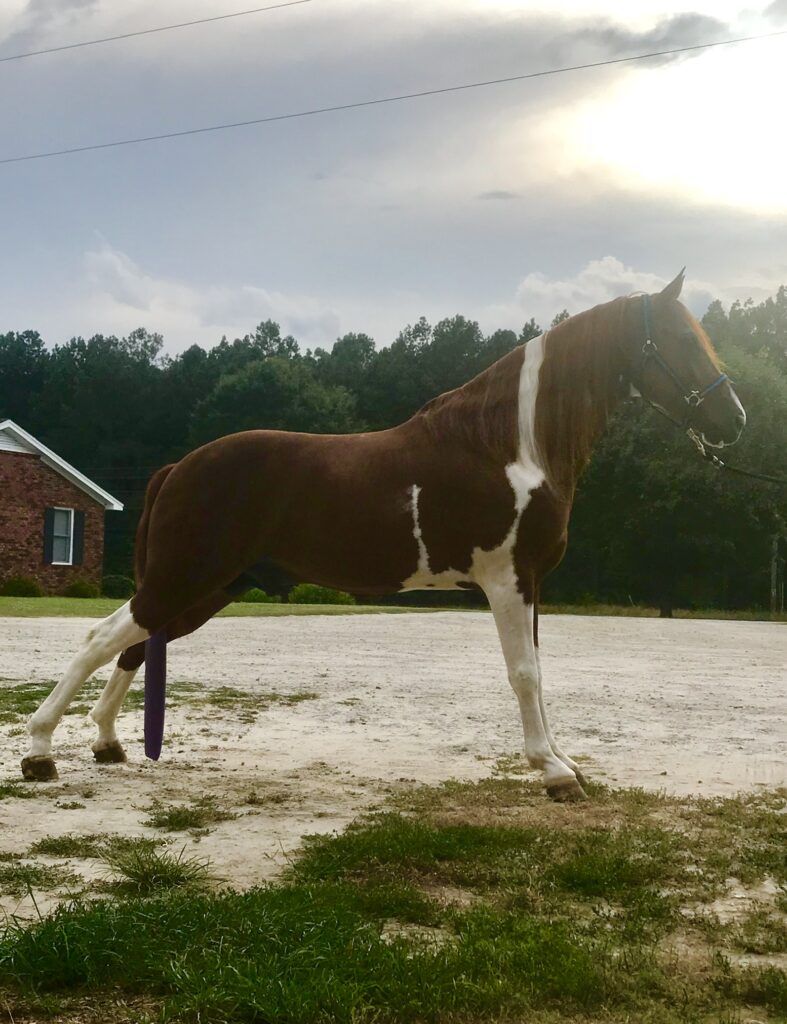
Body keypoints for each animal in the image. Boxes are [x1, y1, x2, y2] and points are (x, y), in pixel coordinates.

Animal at [21, 271, 746, 801]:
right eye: (681, 341)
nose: (733, 420)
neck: (508, 447)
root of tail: (181, 466)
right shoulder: (507, 579)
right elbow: (524, 674)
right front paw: (553, 771)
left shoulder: (532, 584)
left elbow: (538, 673)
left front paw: (561, 760)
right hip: (186, 578)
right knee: (102, 637)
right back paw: (39, 750)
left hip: (207, 588)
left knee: (132, 643)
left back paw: (106, 742)